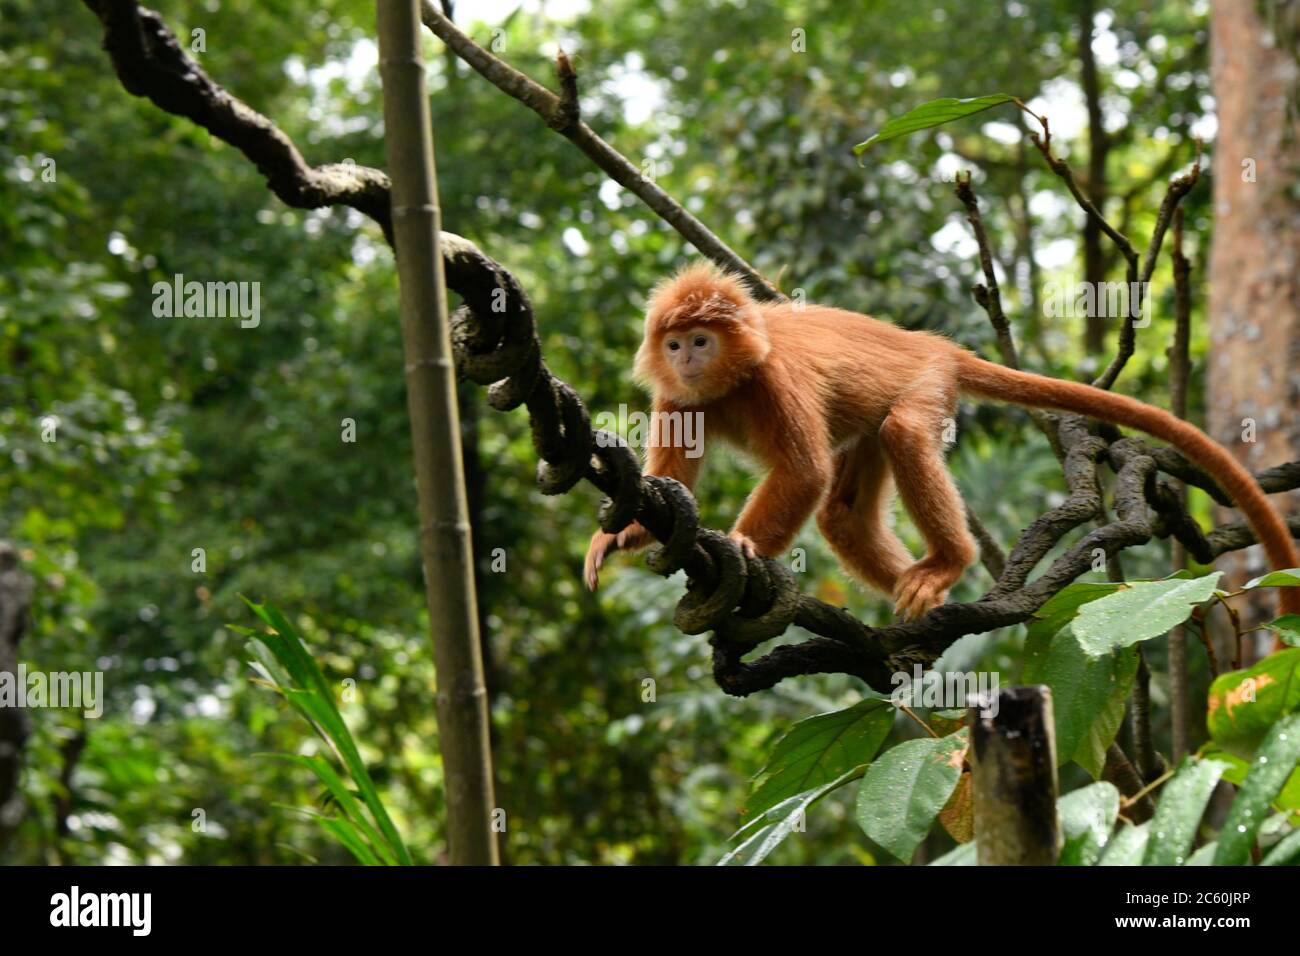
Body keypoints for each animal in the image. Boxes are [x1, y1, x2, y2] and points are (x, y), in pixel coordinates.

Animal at [583, 262, 1300, 621]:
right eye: (675, 344)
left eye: (701, 339)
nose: (685, 357)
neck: (730, 380)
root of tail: (935, 346)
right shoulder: (678, 394)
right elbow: (676, 471)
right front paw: (625, 533)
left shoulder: (775, 375)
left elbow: (805, 469)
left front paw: (744, 545)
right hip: (873, 422)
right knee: (844, 513)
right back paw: (922, 591)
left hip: (924, 386)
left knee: (901, 435)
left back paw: (948, 564)